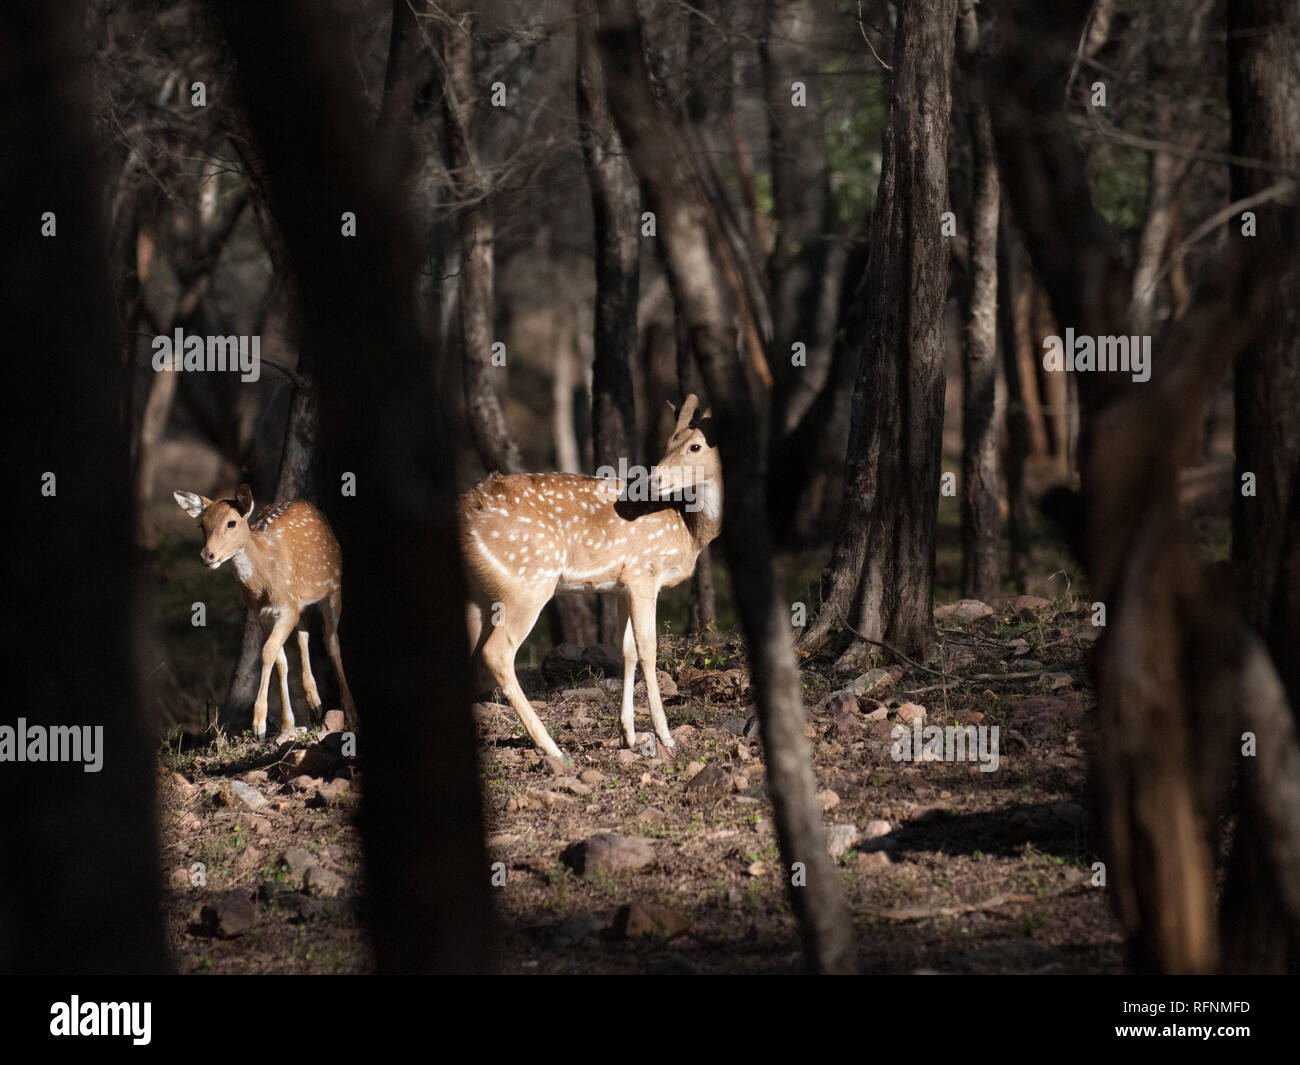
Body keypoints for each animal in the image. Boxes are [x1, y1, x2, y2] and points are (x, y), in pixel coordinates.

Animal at [173, 484, 356, 741]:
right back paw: (315, 703)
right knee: (304, 634)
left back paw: (350, 713)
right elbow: (280, 660)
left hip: (333, 587)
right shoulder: (263, 614)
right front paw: (287, 724)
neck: (264, 581)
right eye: (202, 525)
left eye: (231, 523)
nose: (206, 556)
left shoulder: (287, 607)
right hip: (300, 602)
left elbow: (268, 652)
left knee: (331, 642)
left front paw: (259, 725)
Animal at [460, 394, 721, 760]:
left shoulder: (622, 585)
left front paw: (630, 736)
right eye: (668, 443)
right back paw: (551, 747)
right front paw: (665, 736)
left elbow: (626, 650)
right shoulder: (643, 572)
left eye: (694, 446)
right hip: (527, 582)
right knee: (497, 653)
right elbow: (648, 649)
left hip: (479, 593)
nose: (654, 478)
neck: (687, 530)